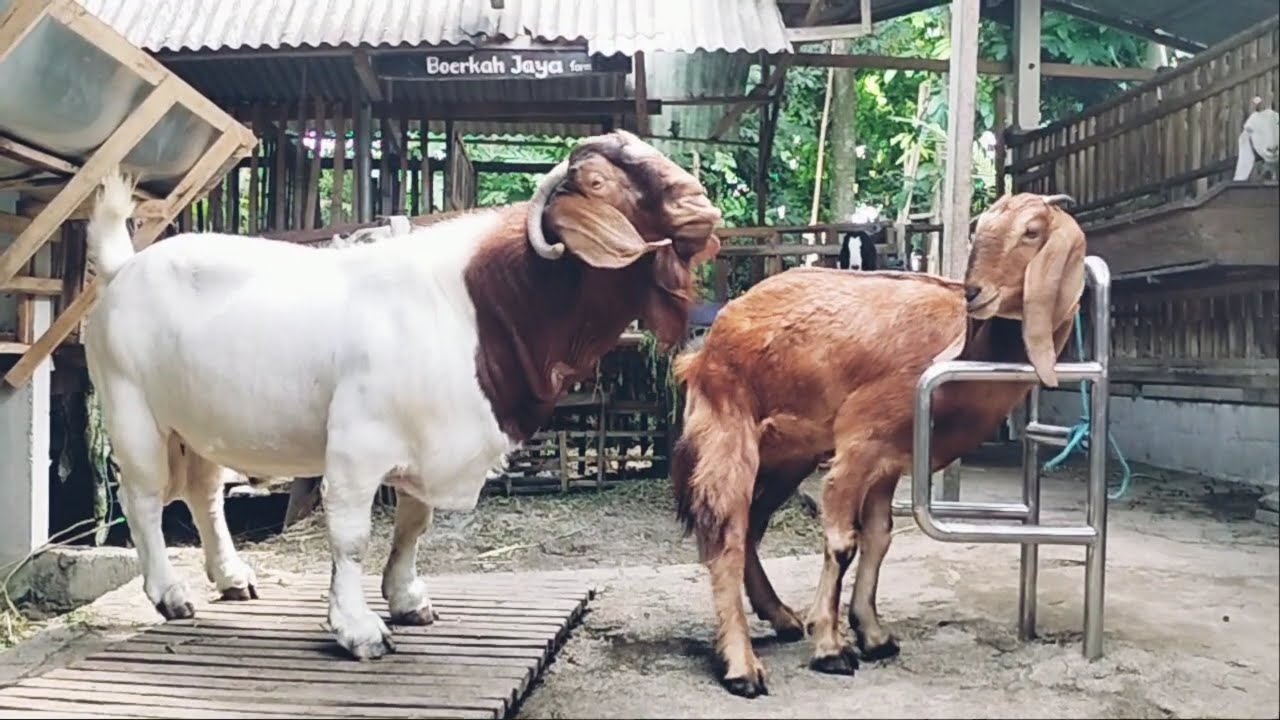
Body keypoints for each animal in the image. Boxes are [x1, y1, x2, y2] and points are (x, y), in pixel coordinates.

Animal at [82, 129, 722, 661]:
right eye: (597, 183)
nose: (703, 209)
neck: (482, 305)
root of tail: (124, 267)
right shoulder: (356, 447)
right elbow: (352, 536)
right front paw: (358, 629)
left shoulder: (429, 447)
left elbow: (414, 525)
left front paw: (408, 600)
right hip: (132, 414)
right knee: (143, 499)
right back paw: (171, 593)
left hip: (198, 424)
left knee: (205, 493)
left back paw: (233, 577)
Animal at [670, 192, 1084, 697]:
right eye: (984, 227)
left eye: (1032, 231)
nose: (974, 293)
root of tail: (708, 345)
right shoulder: (858, 445)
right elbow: (842, 543)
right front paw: (831, 647)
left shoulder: (889, 461)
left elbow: (880, 539)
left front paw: (871, 632)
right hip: (731, 434)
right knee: (726, 534)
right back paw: (742, 666)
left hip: (789, 455)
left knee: (750, 526)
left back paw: (782, 618)